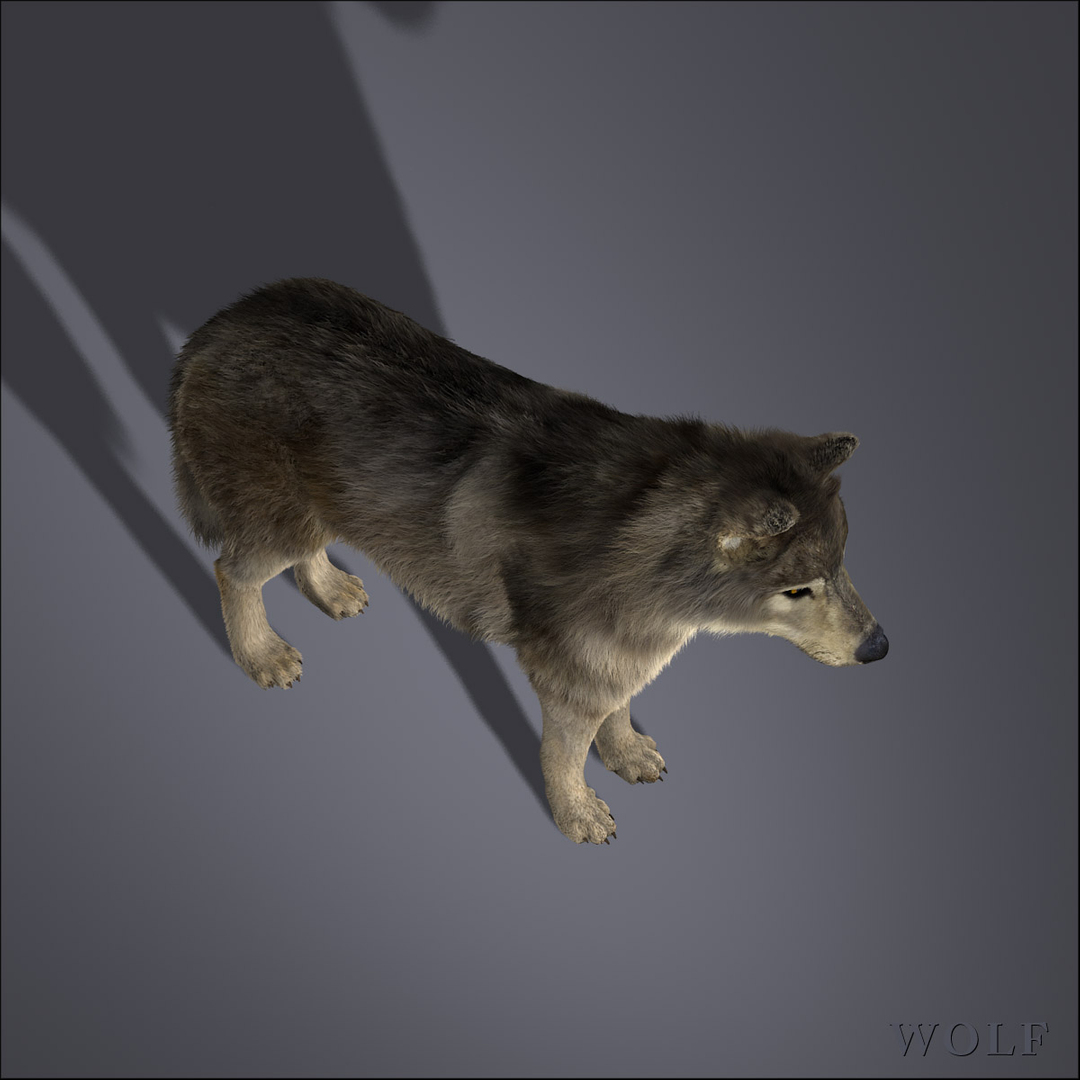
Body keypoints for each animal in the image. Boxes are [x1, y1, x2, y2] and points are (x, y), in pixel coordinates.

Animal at [169, 278, 887, 844]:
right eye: (799, 589)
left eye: (841, 564)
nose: (880, 648)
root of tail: (220, 323)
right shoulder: (573, 670)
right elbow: (564, 755)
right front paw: (577, 814)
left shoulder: (618, 656)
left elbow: (617, 713)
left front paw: (627, 753)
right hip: (281, 518)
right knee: (233, 571)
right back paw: (260, 654)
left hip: (316, 509)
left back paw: (332, 591)